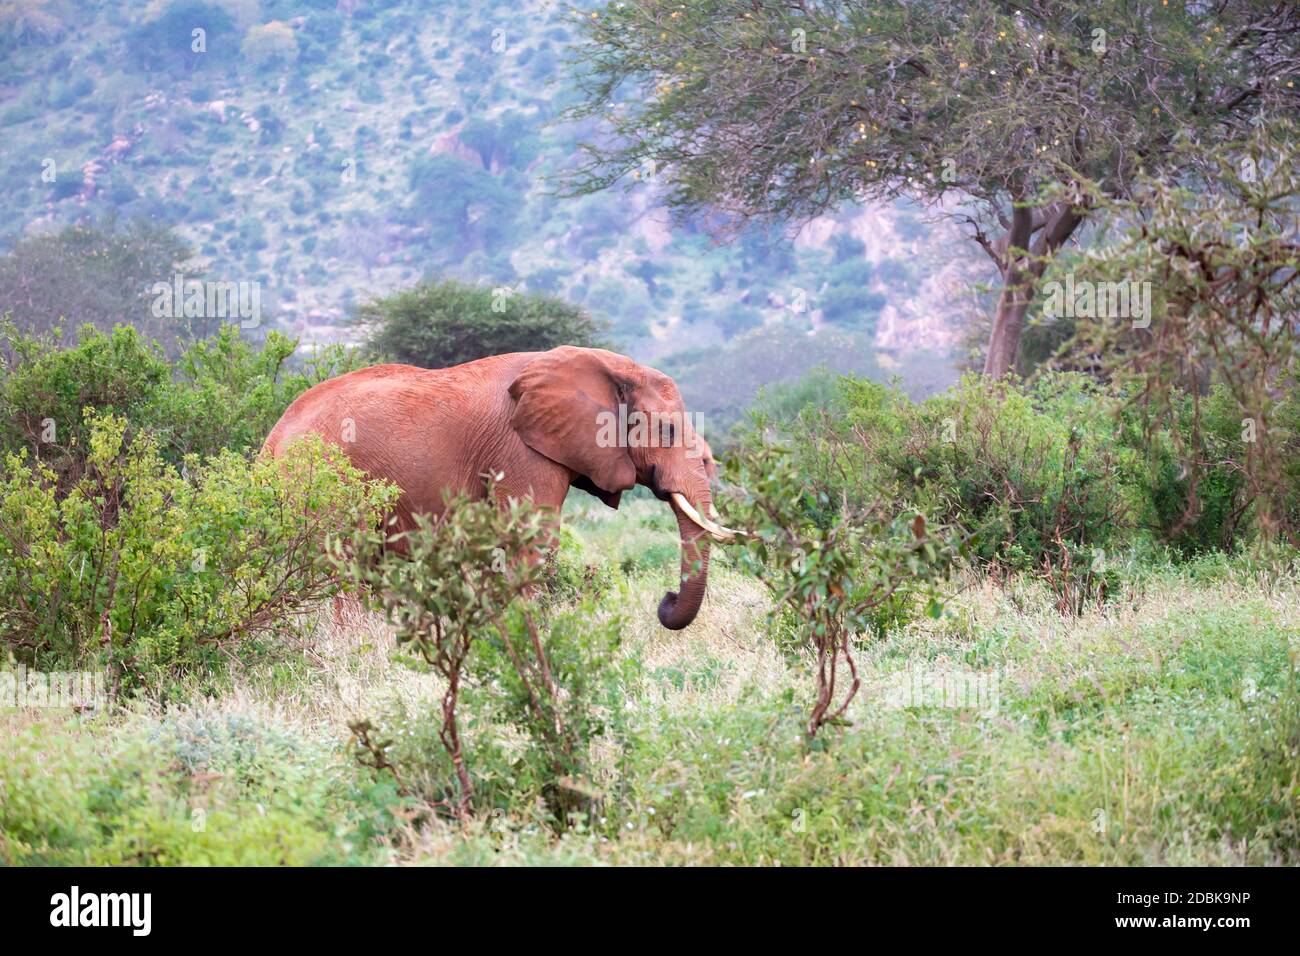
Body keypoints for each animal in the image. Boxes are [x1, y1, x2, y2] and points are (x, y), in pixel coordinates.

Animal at [262, 346, 739, 630]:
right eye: (669, 430)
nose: (665, 599)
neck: (607, 365)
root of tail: (270, 443)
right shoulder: (522, 450)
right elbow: (530, 542)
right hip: (325, 480)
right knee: (343, 561)